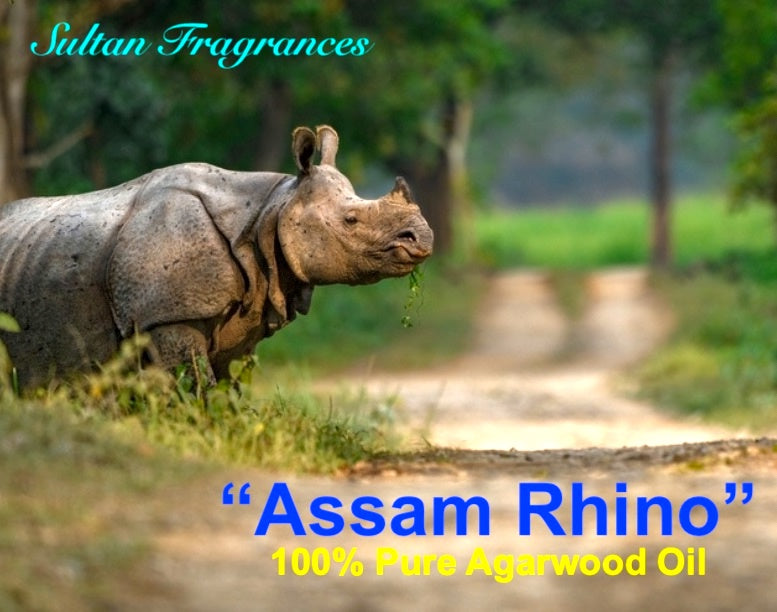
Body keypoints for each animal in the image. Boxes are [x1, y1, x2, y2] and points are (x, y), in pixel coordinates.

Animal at [0, 125, 433, 387]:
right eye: (351, 219)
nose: (423, 238)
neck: (270, 212)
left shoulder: (247, 309)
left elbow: (226, 387)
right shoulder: (168, 314)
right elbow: (196, 387)